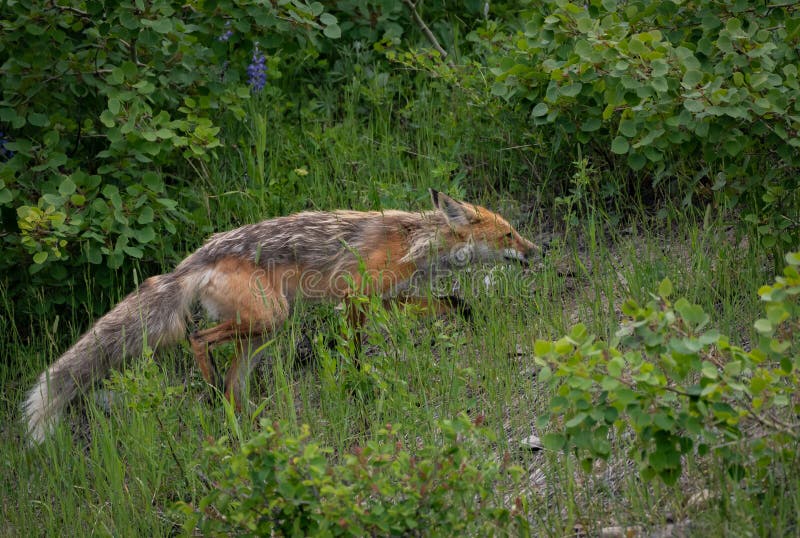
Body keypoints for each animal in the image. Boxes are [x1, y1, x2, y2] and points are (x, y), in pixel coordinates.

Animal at [23, 189, 537, 443]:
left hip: (264, 334)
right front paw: (358, 385)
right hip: (271, 319)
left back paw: (241, 422)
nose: (538, 251)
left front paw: (469, 317)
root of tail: (190, 261)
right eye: (509, 235)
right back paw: (213, 394)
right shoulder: (355, 297)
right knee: (197, 339)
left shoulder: (387, 299)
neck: (414, 241)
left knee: (233, 381)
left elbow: (453, 303)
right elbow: (354, 352)